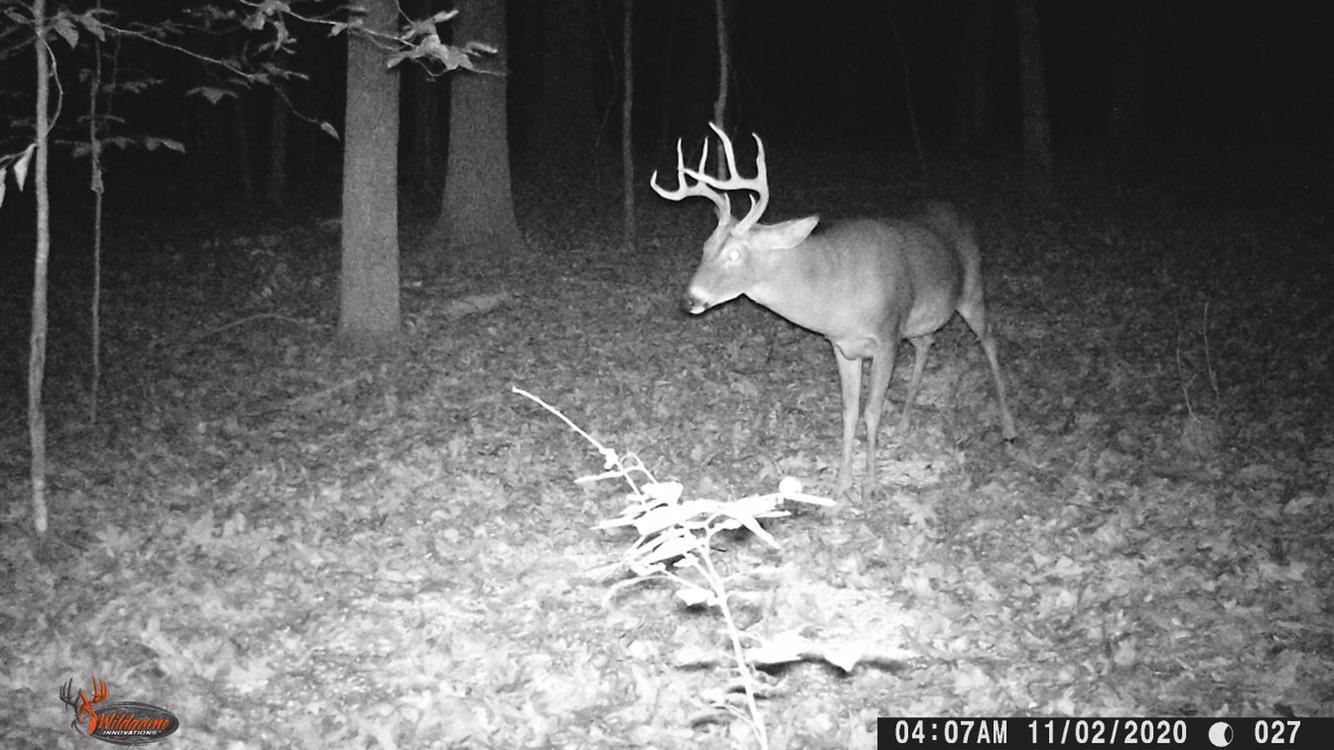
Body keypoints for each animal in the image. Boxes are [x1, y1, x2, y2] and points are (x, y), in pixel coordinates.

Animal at [652, 123, 1016, 502]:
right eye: (706, 247)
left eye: (735, 254)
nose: (689, 300)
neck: (835, 295)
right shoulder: (843, 346)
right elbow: (849, 412)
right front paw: (841, 485)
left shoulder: (887, 336)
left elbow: (871, 411)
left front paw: (870, 486)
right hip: (917, 321)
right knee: (927, 343)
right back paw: (904, 424)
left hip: (971, 289)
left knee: (990, 341)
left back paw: (1008, 428)